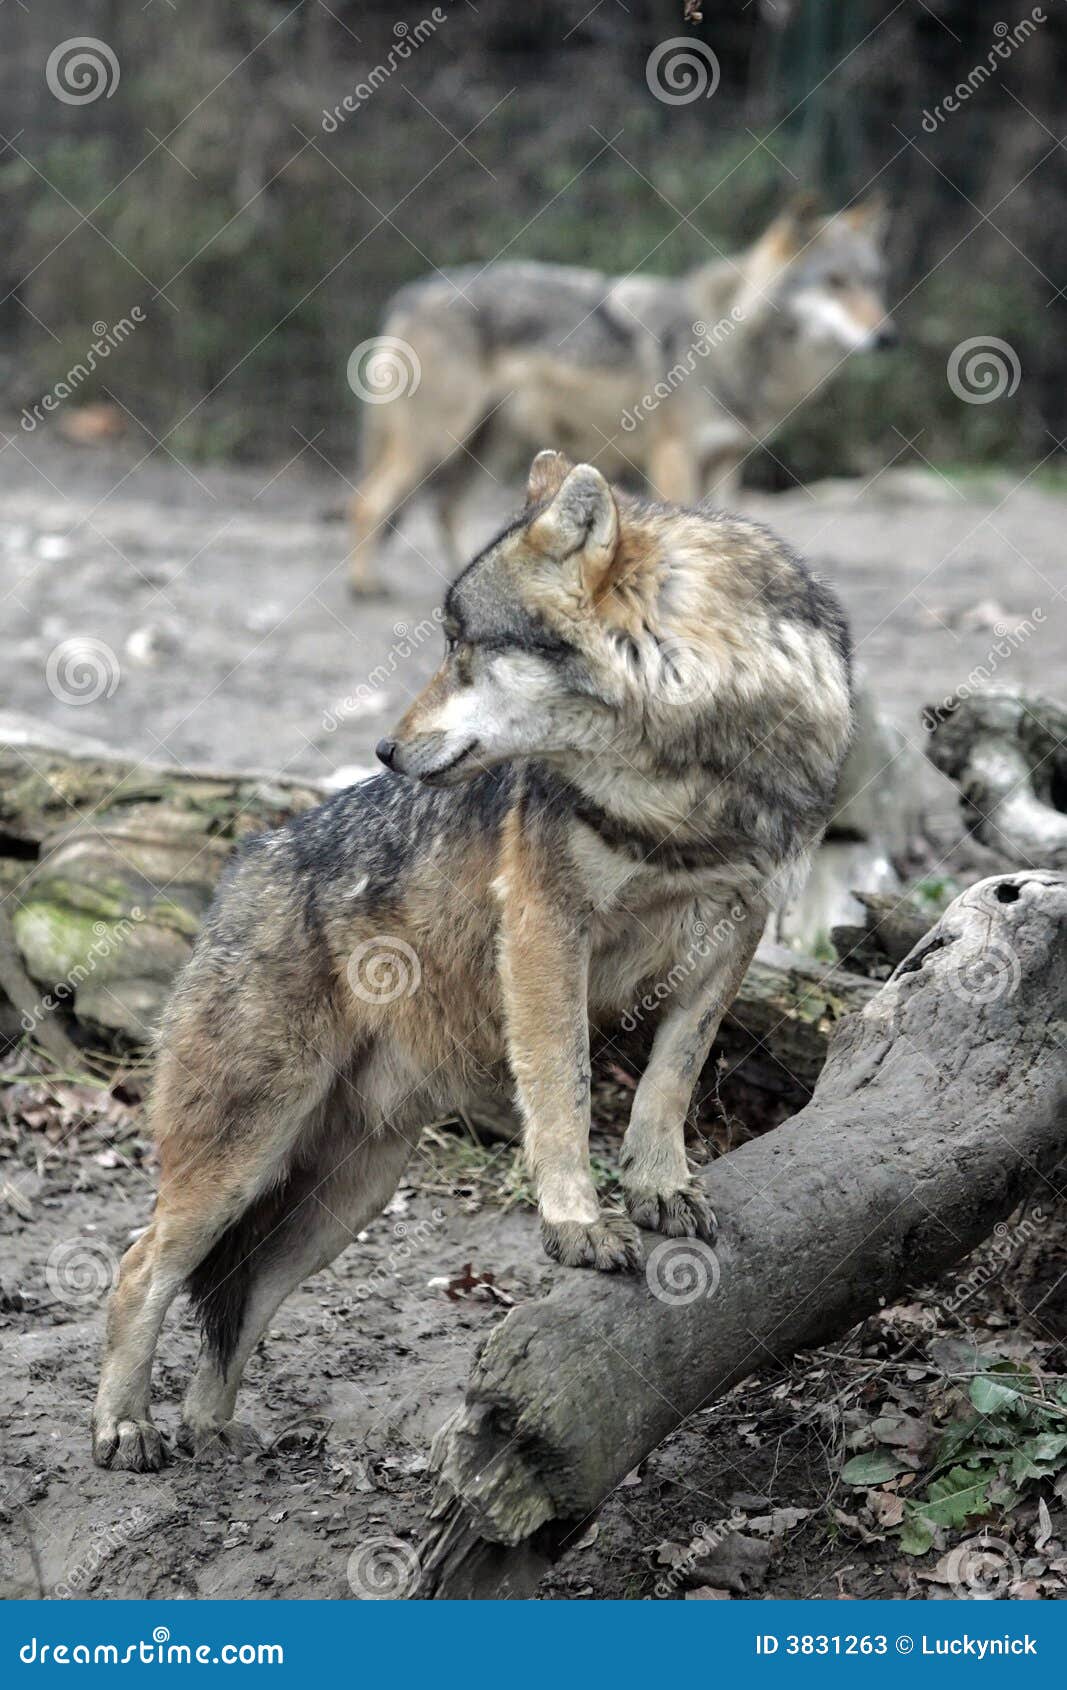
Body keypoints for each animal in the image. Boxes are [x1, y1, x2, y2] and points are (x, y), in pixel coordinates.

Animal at [93, 450, 853, 1471]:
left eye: (463, 645)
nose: (383, 747)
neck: (685, 794)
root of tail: (245, 862)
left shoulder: (737, 924)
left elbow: (671, 1076)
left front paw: (659, 1186)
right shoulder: (544, 924)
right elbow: (564, 1087)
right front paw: (578, 1226)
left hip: (348, 1196)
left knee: (239, 1294)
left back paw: (217, 1435)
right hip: (243, 1155)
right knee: (141, 1265)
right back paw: (125, 1426)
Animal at [348, 196, 894, 593]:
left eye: (872, 282)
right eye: (835, 282)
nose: (888, 337)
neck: (728, 342)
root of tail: (408, 294)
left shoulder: (726, 462)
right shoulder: (673, 456)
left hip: (488, 449)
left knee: (445, 510)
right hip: (438, 443)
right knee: (369, 501)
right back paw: (365, 587)